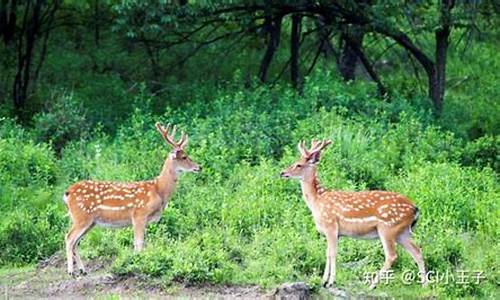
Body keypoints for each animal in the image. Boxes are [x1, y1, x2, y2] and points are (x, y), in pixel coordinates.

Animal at [63, 122, 200, 276]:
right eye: (184, 157)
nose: (199, 167)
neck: (158, 190)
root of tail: (68, 193)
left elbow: (139, 244)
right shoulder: (139, 214)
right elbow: (138, 243)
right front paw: (137, 265)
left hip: (89, 221)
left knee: (76, 242)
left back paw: (83, 270)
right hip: (82, 216)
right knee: (69, 238)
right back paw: (71, 271)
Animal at [282, 140, 426, 288]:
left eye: (299, 164)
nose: (282, 173)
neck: (317, 201)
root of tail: (415, 209)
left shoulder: (330, 225)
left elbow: (333, 253)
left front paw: (330, 282)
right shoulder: (334, 233)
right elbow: (327, 253)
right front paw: (323, 280)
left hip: (388, 228)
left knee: (392, 255)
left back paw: (372, 285)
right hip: (402, 232)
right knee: (417, 251)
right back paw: (424, 285)